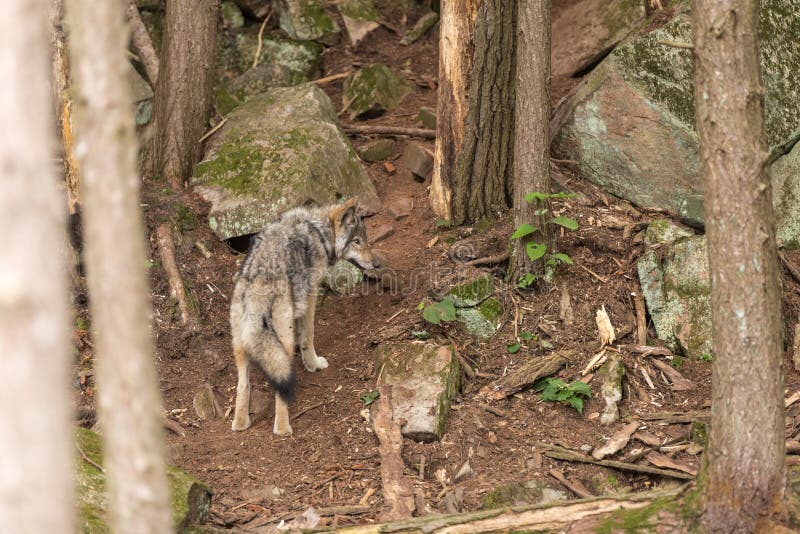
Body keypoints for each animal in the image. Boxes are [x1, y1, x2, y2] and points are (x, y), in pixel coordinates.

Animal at [230, 198, 380, 435]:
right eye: (357, 241)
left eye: (364, 240)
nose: (376, 264)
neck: (319, 232)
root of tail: (259, 279)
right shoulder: (310, 295)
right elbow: (308, 335)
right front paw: (313, 363)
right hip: (281, 341)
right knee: (281, 384)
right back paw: (283, 428)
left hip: (240, 346)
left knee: (243, 385)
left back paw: (240, 423)